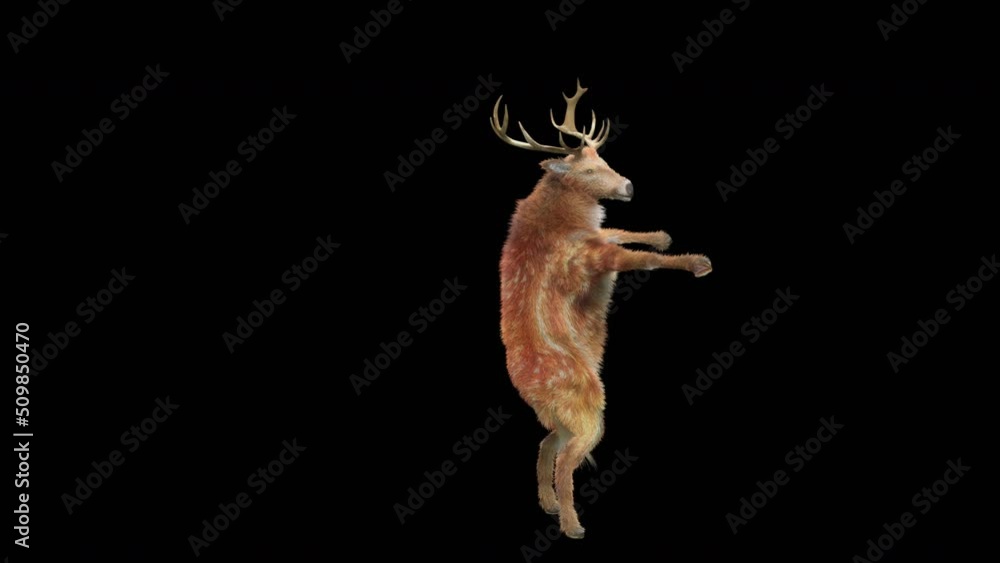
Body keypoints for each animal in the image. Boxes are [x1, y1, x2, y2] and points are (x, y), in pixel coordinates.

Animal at [493, 80, 713, 539]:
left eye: (604, 159)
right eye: (588, 171)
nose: (628, 186)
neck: (561, 217)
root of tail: (531, 392)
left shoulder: (595, 237)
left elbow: (618, 230)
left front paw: (662, 234)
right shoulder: (591, 258)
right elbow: (638, 258)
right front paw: (697, 263)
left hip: (565, 418)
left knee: (546, 444)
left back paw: (548, 506)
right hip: (590, 407)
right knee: (565, 460)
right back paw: (572, 524)